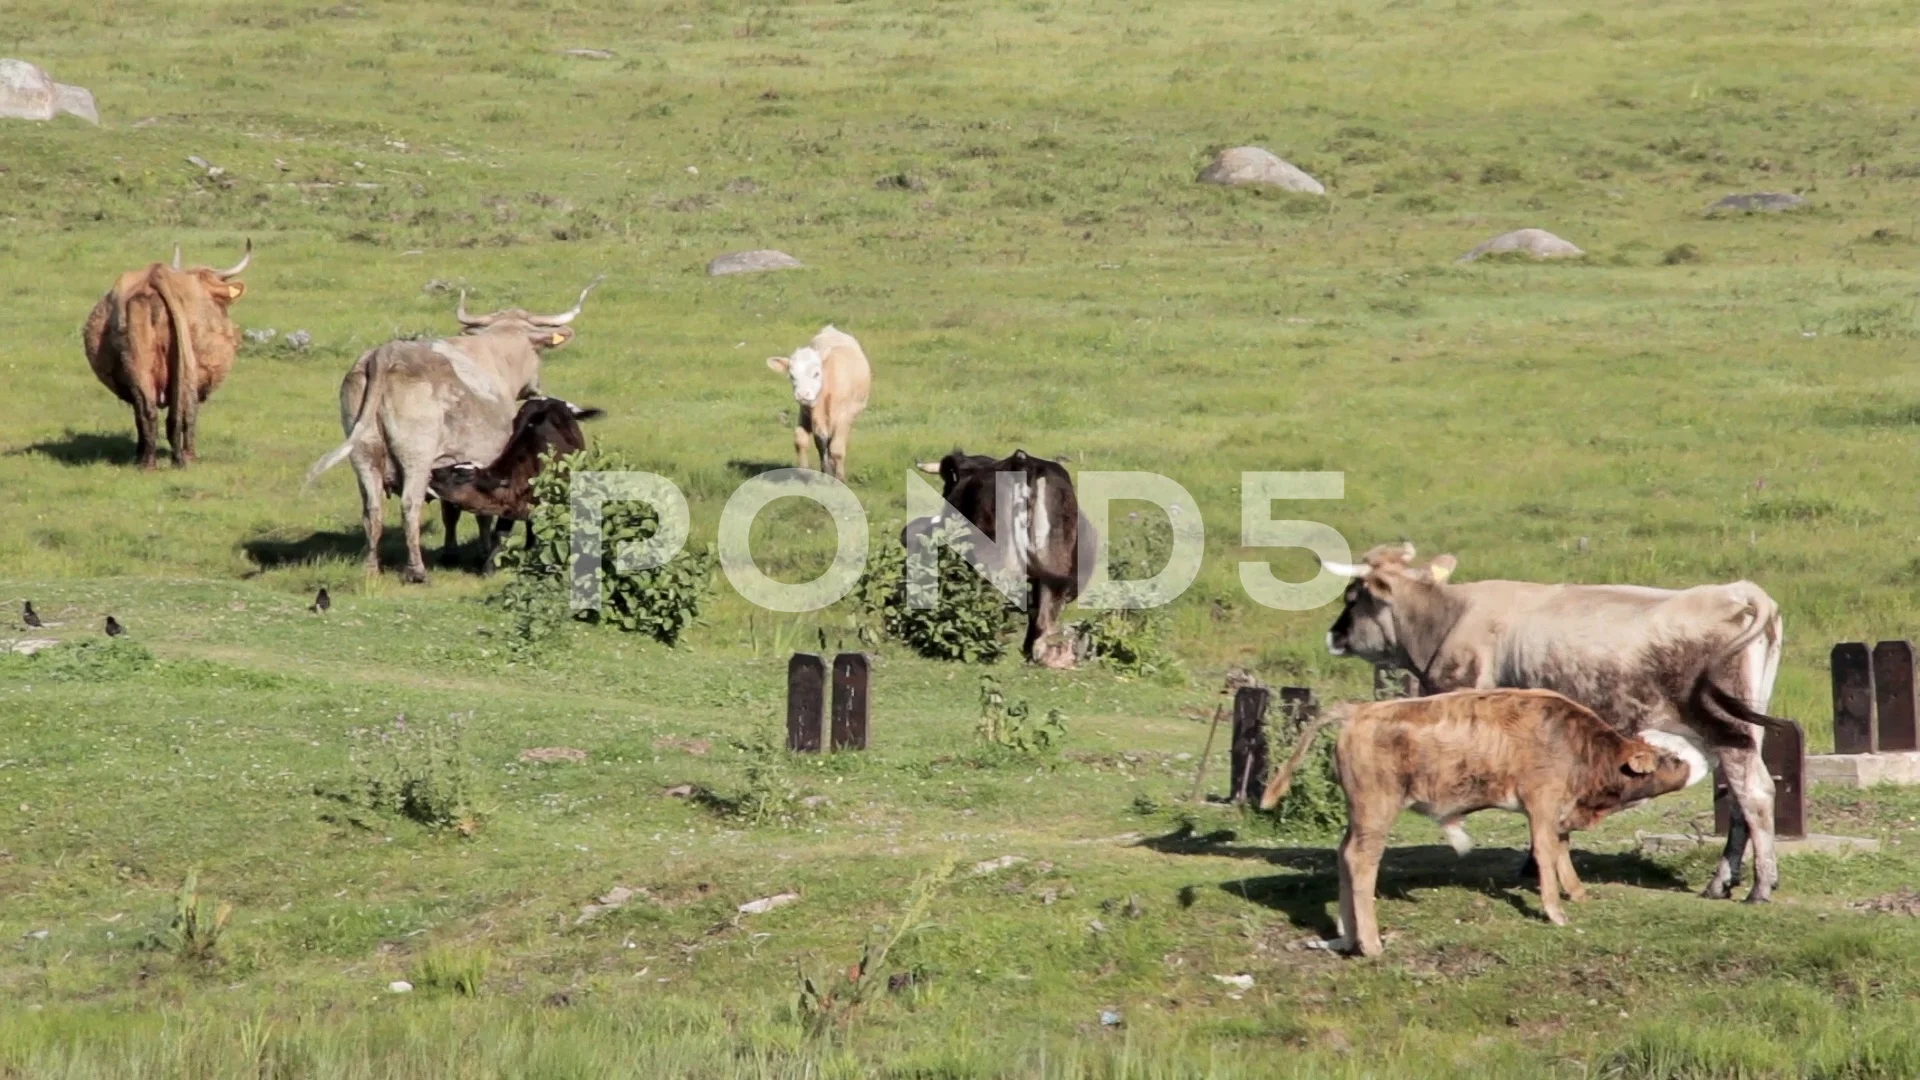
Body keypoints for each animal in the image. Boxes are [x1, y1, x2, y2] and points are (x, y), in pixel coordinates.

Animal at [81, 241, 252, 469]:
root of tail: (155, 276)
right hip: (190, 366)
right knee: (185, 409)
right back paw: (185, 458)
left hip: (137, 361)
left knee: (147, 410)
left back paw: (147, 462)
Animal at [765, 325, 870, 482]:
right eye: (791, 376)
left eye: (816, 373)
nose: (803, 394)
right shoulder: (806, 412)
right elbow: (802, 440)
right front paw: (807, 473)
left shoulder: (844, 417)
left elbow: (837, 449)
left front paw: (839, 478)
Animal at [1260, 688, 1709, 956]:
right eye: (1671, 758)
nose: (1701, 761)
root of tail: (1362, 709)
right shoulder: (1541, 802)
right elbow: (1545, 853)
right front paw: (1555, 913)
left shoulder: (1558, 809)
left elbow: (1561, 851)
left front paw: (1578, 895)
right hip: (1376, 807)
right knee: (1360, 859)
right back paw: (1370, 944)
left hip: (1360, 812)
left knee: (1342, 854)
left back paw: (1349, 935)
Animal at [1321, 542, 1786, 902]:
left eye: (1351, 596)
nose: (1332, 635)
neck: (1449, 618)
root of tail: (1739, 591)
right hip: (1745, 729)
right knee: (1738, 800)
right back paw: (1722, 882)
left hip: (1725, 728)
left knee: (1755, 794)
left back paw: (1759, 887)